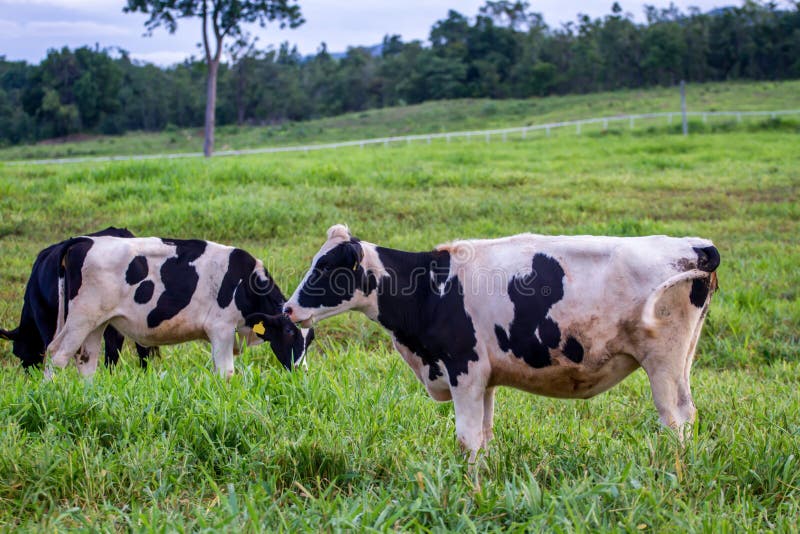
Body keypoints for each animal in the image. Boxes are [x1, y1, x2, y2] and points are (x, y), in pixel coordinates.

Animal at [44, 236, 314, 378]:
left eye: (309, 340)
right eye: (289, 332)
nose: (300, 371)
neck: (242, 281)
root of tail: (84, 241)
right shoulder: (221, 329)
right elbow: (226, 372)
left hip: (96, 322)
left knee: (86, 362)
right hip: (81, 319)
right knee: (57, 355)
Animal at [283, 224, 720, 462]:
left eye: (326, 268)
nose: (288, 309)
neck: (432, 288)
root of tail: (697, 245)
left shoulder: (464, 369)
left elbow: (467, 439)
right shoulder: (486, 378)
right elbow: (485, 437)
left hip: (662, 360)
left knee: (674, 419)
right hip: (682, 360)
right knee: (688, 413)